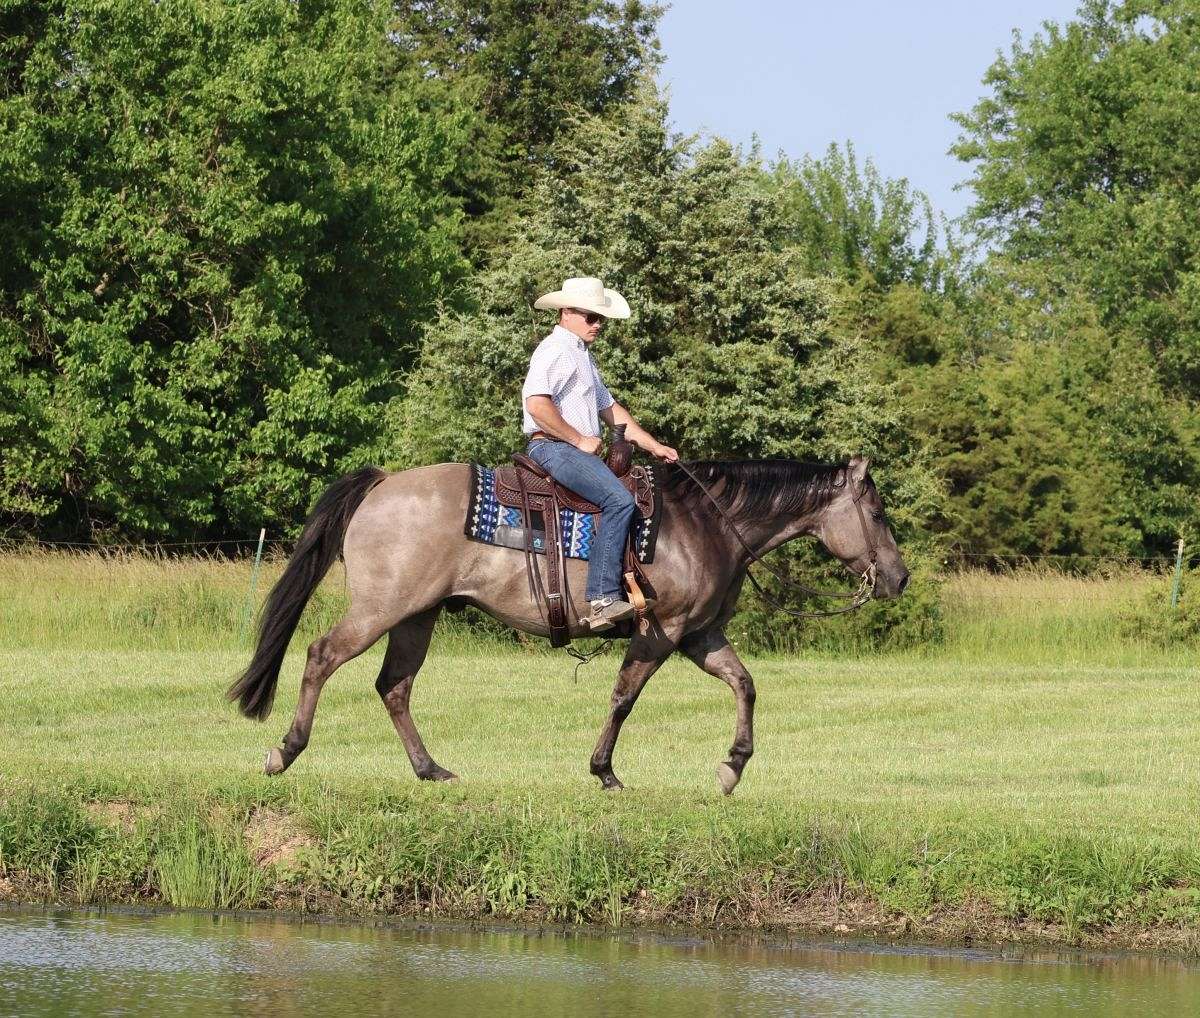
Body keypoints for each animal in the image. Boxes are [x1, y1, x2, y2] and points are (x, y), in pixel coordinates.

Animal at [228, 455, 909, 794]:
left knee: (393, 687)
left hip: (416, 617)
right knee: (321, 655)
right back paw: (285, 751)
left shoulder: (698, 634)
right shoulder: (661, 630)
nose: (899, 577)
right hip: (380, 609)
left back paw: (431, 770)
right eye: (877, 512)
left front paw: (731, 767)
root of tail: (382, 484)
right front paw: (604, 770)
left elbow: (744, 684)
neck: (707, 523)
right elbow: (624, 697)